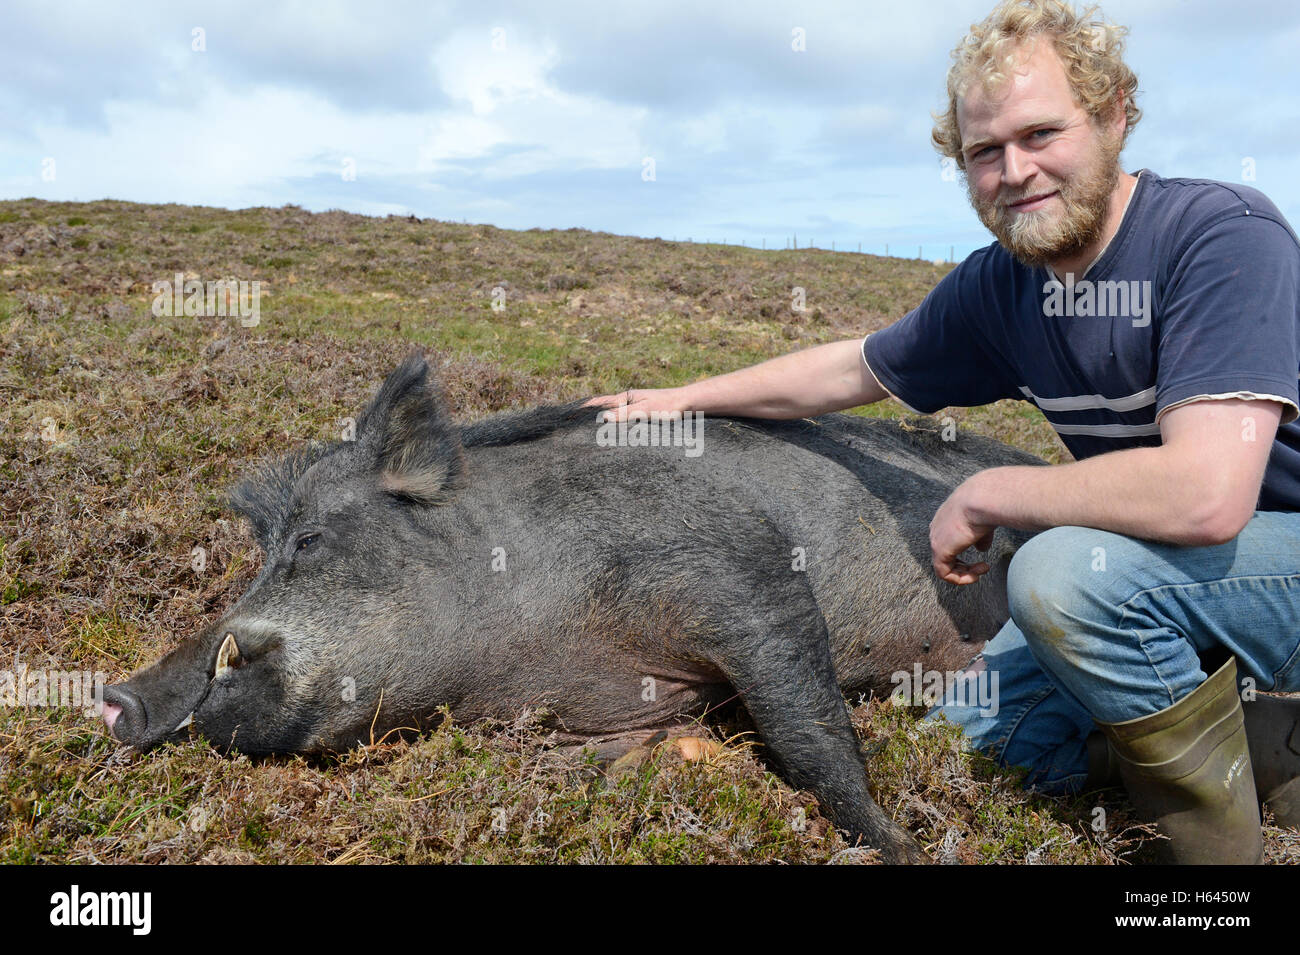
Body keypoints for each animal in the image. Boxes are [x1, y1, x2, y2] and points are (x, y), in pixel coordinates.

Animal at [102, 348, 1044, 863]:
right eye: (268, 546)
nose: (112, 697)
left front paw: (907, 849)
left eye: (308, 540)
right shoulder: (605, 723)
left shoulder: (742, 568)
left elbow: (810, 734)